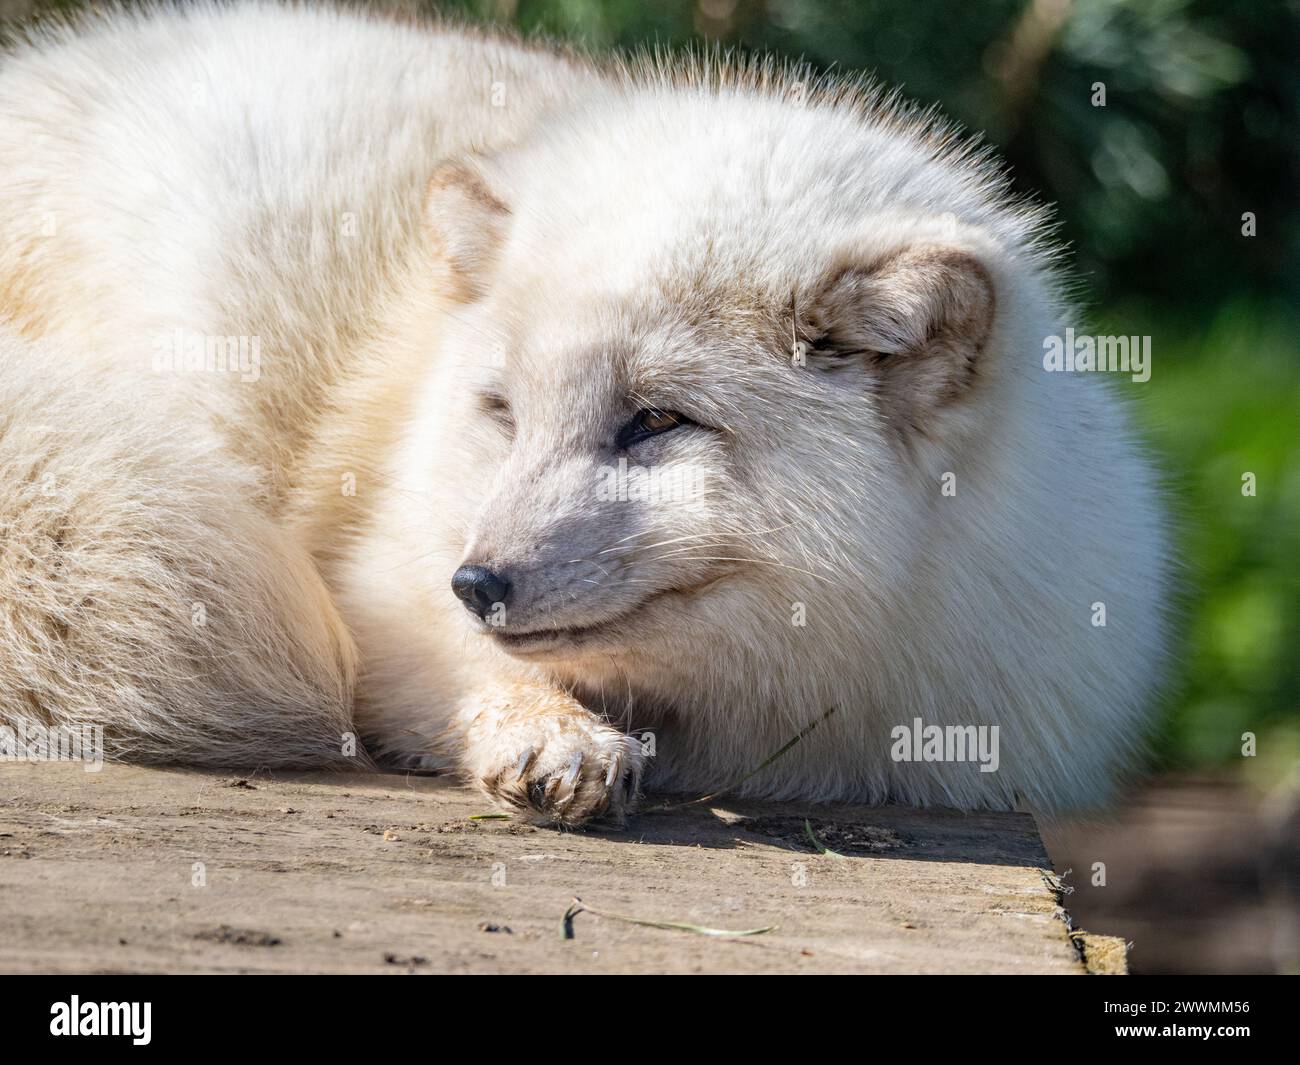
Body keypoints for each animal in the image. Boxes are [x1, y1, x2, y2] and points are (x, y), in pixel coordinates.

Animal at [0, 2, 1170, 824]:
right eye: (502, 413)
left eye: (655, 421)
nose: (477, 583)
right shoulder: (376, 578)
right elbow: (439, 662)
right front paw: (549, 738)